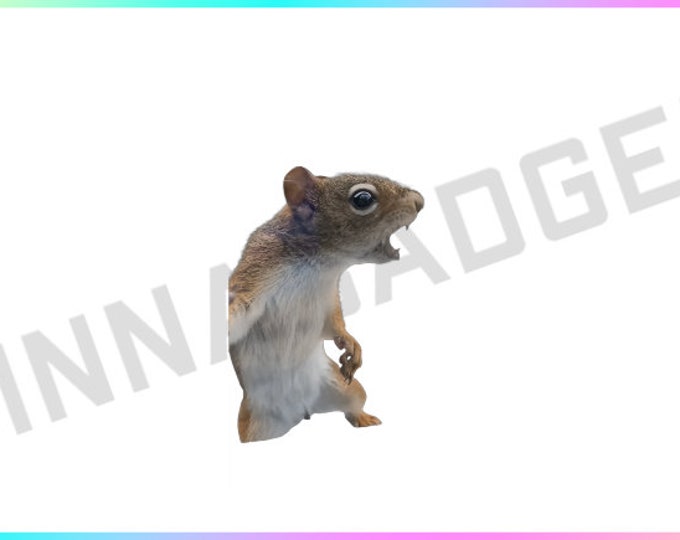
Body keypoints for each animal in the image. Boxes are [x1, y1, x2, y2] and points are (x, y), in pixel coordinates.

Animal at [228, 166, 424, 442]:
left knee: (353, 404)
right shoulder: (255, 270)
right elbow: (240, 309)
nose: (420, 201)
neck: (320, 263)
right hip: (256, 423)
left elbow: (334, 323)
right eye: (362, 199)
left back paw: (363, 418)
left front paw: (351, 344)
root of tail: (302, 410)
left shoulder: (329, 297)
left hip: (346, 388)